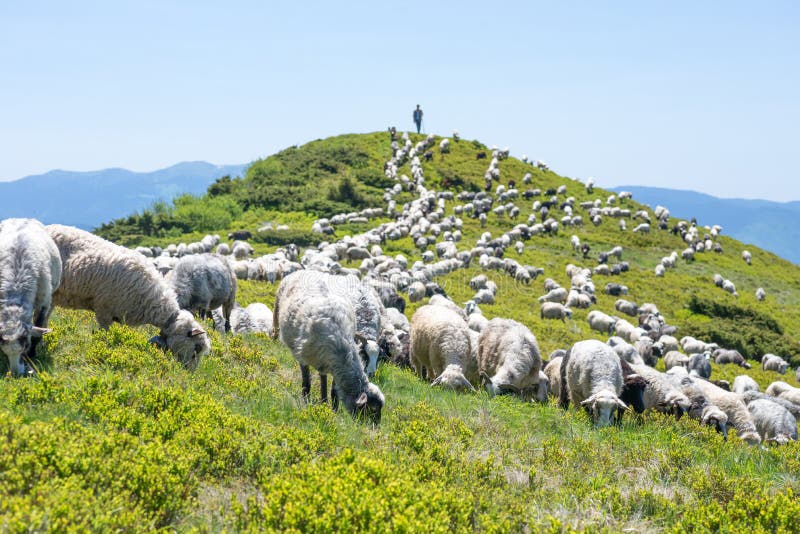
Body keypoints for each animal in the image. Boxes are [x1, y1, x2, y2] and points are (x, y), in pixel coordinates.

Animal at [0, 219, 62, 376]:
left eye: (26, 345)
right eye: (3, 350)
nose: (16, 374)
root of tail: (20, 218)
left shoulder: (43, 302)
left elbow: (37, 330)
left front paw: (33, 355)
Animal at [273, 273, 384, 423]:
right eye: (371, 409)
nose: (375, 427)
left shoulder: (332, 364)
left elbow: (333, 390)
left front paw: (333, 409)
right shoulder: (310, 358)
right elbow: (308, 382)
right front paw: (314, 403)